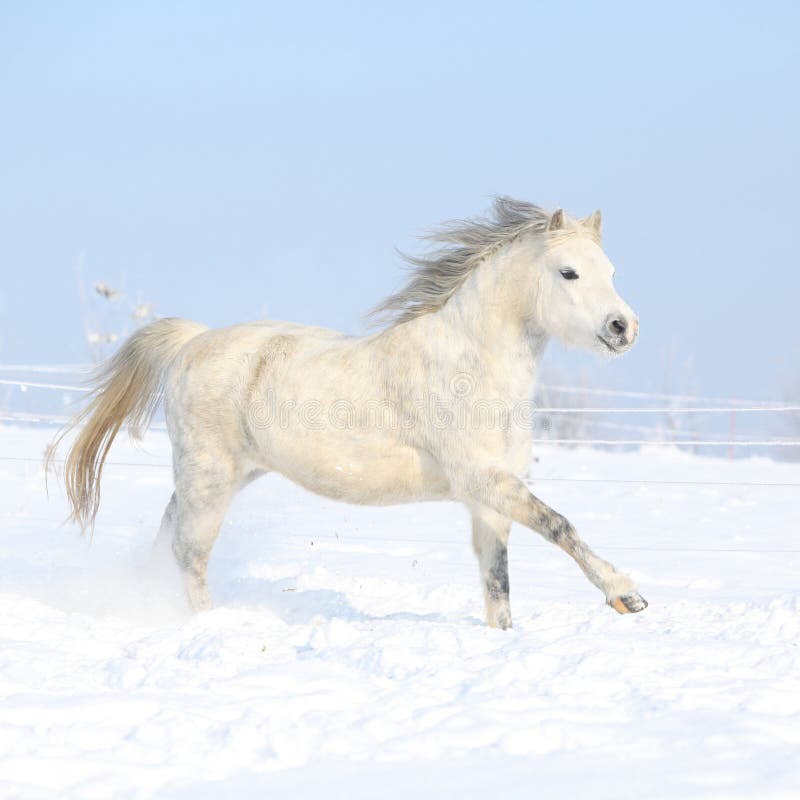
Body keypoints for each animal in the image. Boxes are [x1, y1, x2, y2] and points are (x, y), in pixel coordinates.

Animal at [52, 197, 647, 629]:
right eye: (568, 272)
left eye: (612, 270)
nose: (623, 327)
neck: (472, 364)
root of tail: (191, 343)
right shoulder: (483, 478)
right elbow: (558, 524)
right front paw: (626, 594)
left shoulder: (488, 499)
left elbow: (497, 581)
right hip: (210, 477)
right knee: (189, 554)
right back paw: (211, 624)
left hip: (225, 475)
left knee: (169, 531)